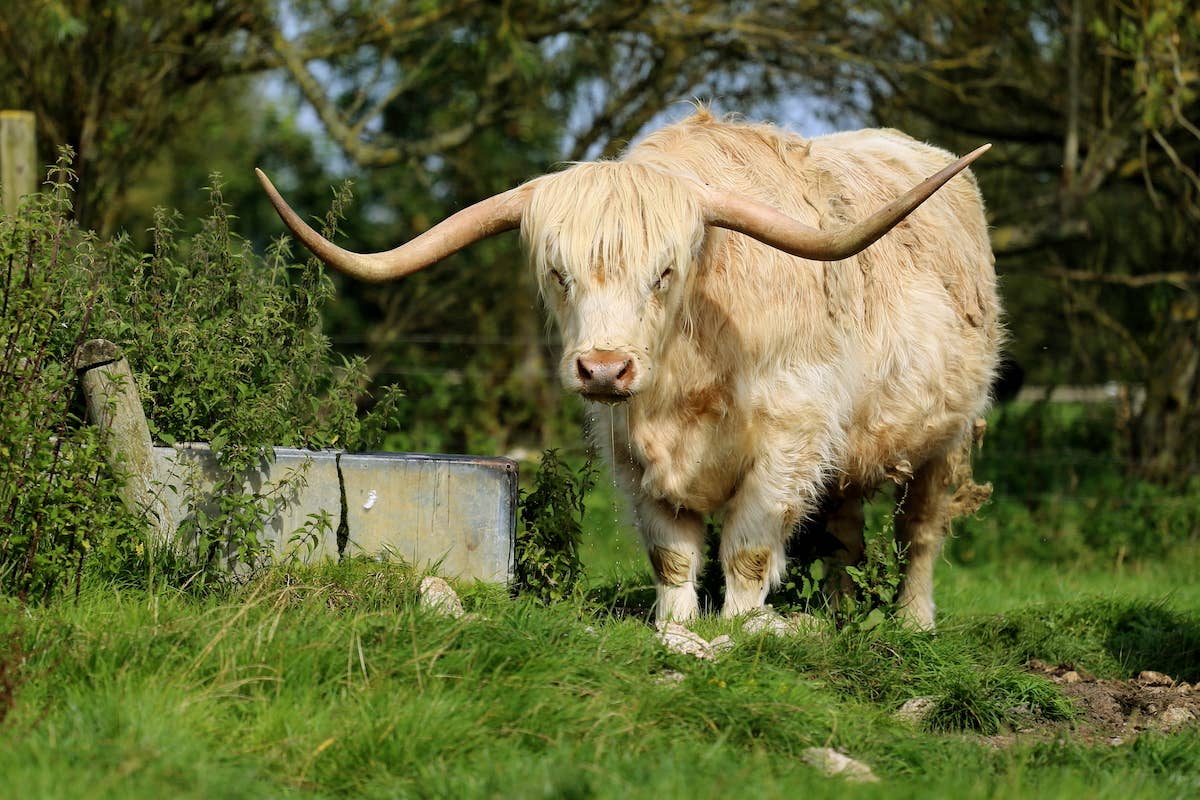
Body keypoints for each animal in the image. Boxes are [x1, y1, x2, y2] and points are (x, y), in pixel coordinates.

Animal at [257, 108, 1000, 630]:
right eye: (558, 273)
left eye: (664, 273)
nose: (605, 369)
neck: (690, 375)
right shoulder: (630, 457)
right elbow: (672, 555)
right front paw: (674, 628)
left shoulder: (789, 440)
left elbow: (748, 550)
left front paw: (740, 631)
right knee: (846, 540)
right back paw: (844, 619)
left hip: (949, 438)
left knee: (920, 534)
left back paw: (914, 624)